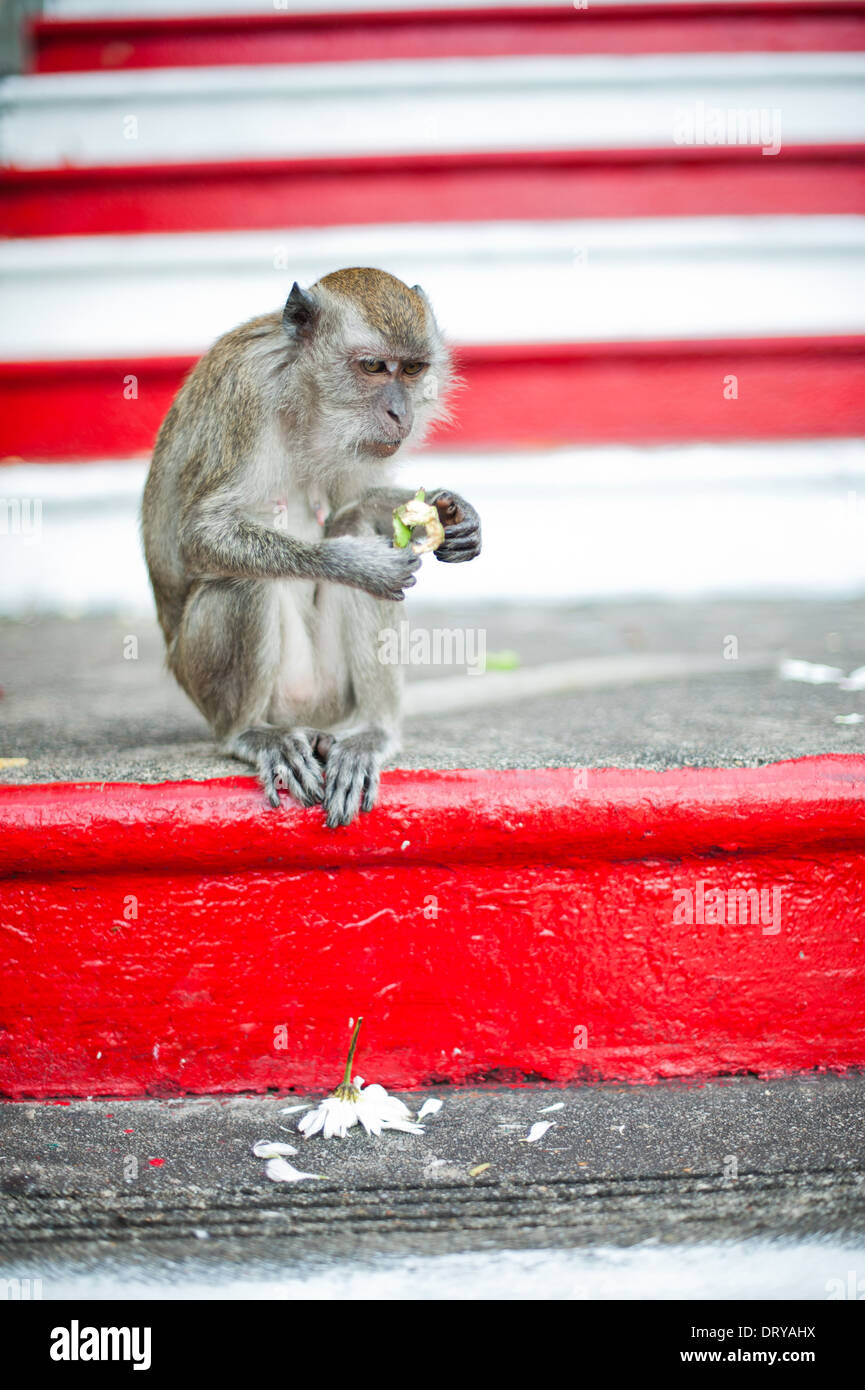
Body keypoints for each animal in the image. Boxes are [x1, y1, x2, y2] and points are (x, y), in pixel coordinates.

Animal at [141, 267, 481, 827]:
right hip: (234, 688)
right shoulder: (243, 392)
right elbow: (201, 535)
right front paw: (353, 562)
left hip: (329, 696)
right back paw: (251, 733)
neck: (301, 395)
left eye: (412, 369)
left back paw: (372, 731)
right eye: (373, 367)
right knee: (241, 582)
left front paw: (450, 512)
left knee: (353, 525)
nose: (399, 411)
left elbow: (354, 503)